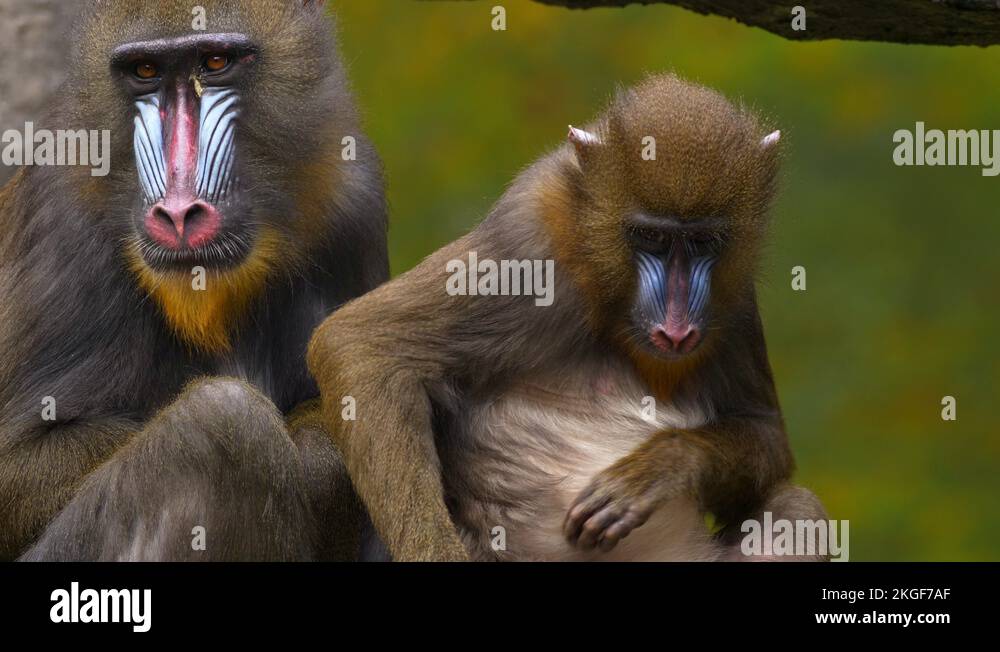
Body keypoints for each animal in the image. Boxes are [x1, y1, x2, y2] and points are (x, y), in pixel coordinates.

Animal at [0, 0, 389, 561]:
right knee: (221, 423)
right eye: (145, 71)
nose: (178, 213)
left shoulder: (352, 202)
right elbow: (16, 468)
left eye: (216, 61)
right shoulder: (61, 220)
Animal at [307, 74, 829, 561]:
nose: (676, 329)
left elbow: (765, 431)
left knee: (797, 510)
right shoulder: (526, 244)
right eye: (651, 237)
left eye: (704, 241)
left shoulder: (735, 294)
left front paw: (662, 467)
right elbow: (363, 344)